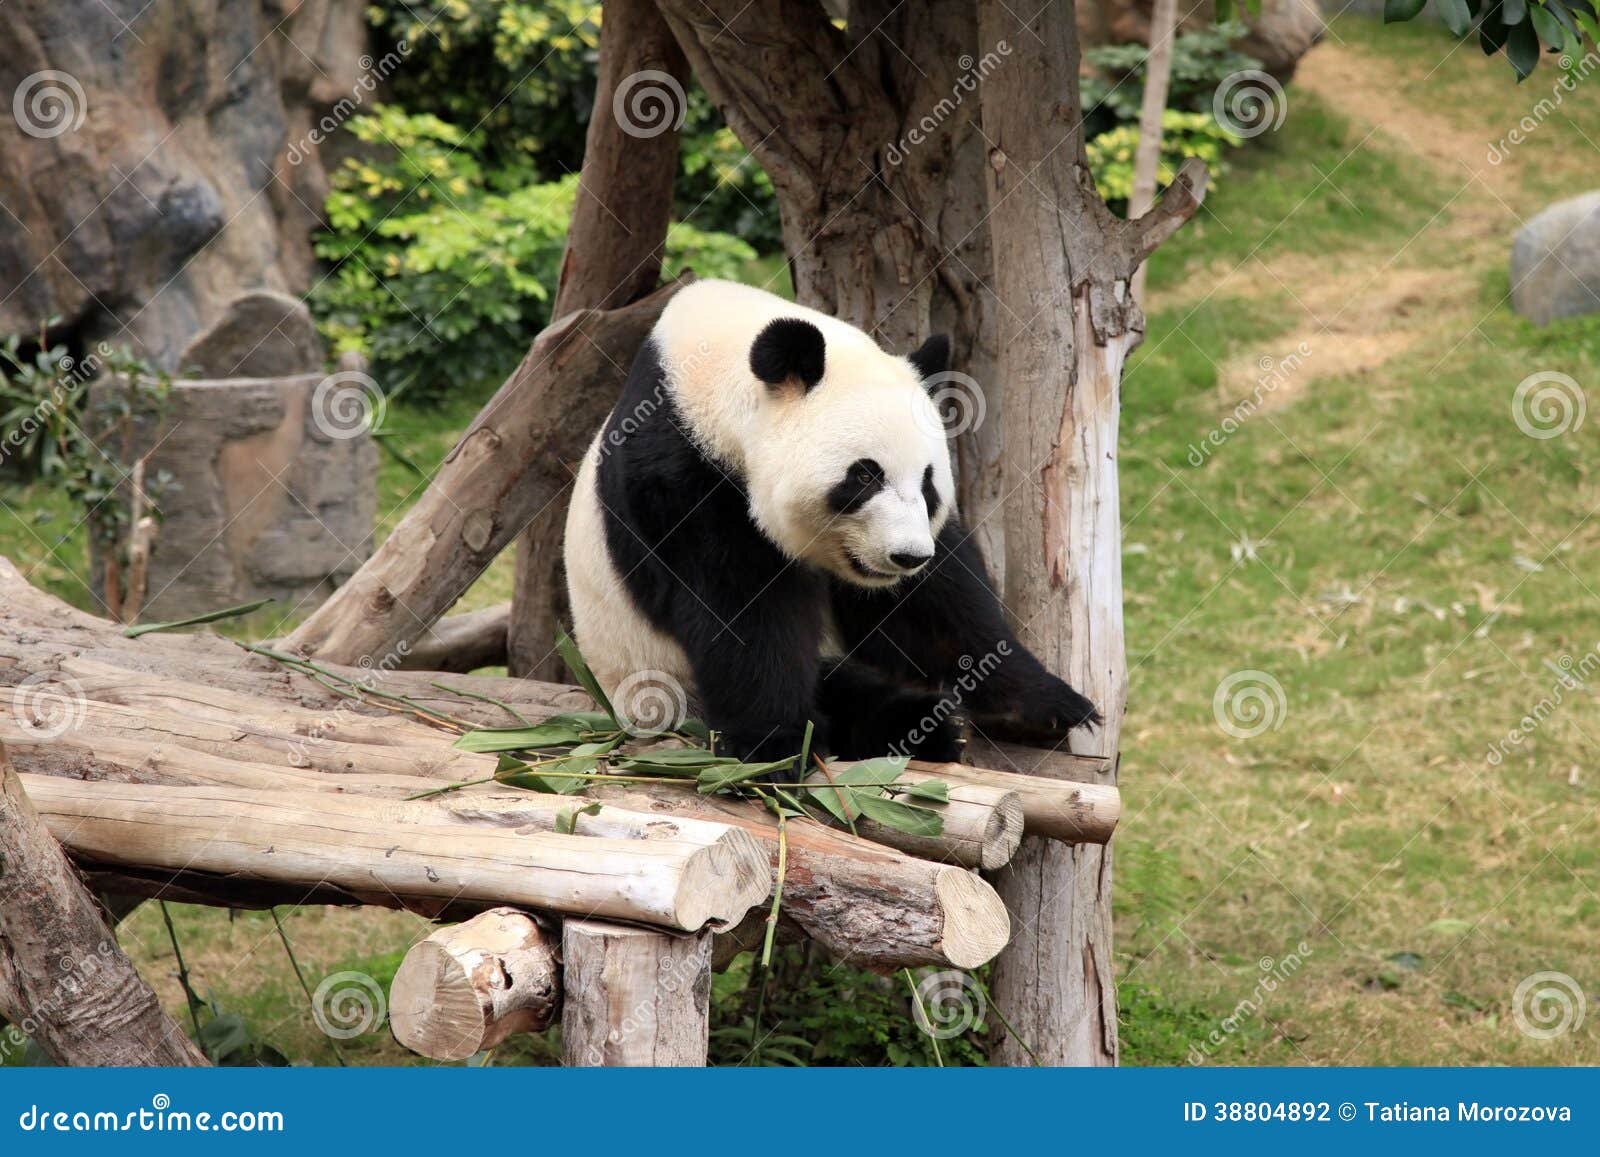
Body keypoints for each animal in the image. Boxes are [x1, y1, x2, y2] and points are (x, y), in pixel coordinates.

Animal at [564, 278, 1100, 767]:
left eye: (928, 484)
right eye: (864, 475)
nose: (907, 557)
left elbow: (935, 604)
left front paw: (1042, 702)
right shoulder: (680, 477)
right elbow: (741, 607)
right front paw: (773, 745)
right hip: (655, 675)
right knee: (838, 689)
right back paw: (918, 725)